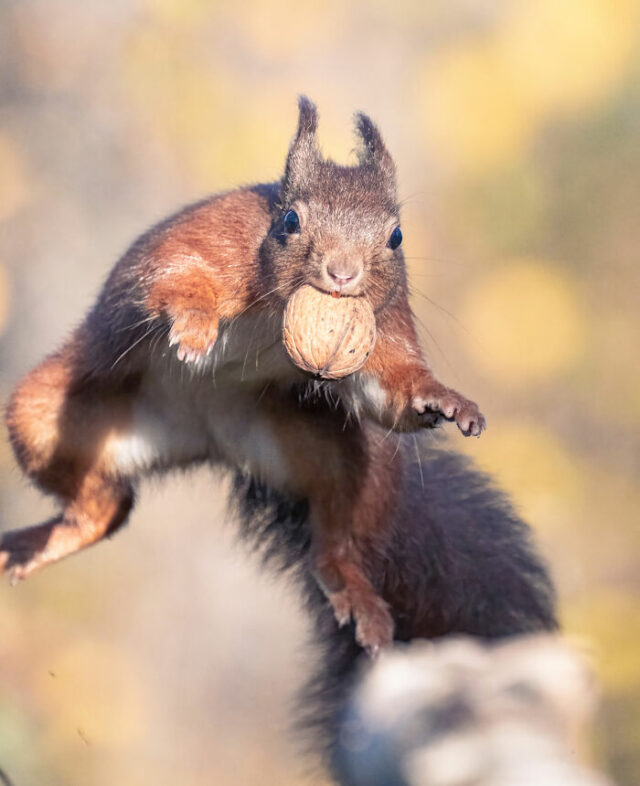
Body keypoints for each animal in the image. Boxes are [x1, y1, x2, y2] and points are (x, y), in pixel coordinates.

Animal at [2, 97, 556, 770]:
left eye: (396, 236)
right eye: (290, 220)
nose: (342, 274)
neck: (280, 300)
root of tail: (200, 436)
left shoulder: (385, 325)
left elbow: (392, 386)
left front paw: (440, 401)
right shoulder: (207, 245)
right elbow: (172, 280)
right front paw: (193, 324)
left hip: (333, 451)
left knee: (327, 530)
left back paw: (350, 584)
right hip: (50, 415)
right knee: (104, 506)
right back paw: (52, 537)